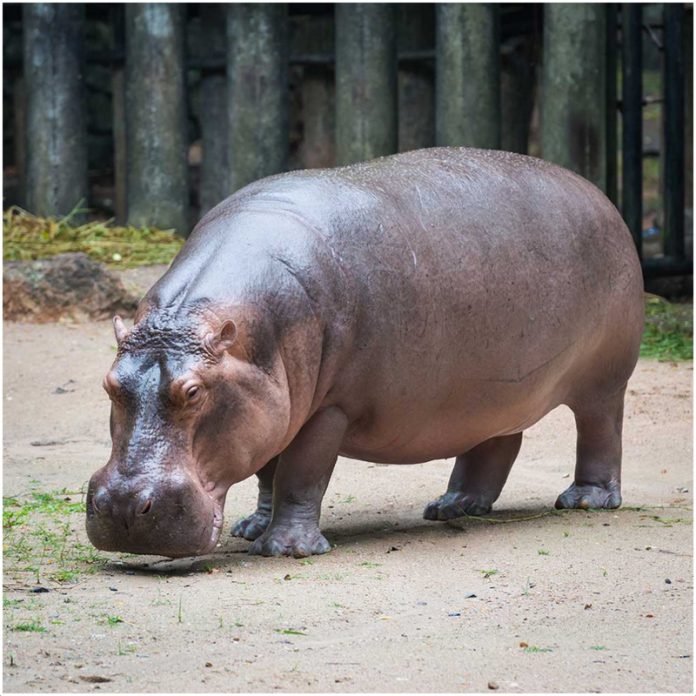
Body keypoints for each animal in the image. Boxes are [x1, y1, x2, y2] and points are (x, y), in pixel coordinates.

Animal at [86, 147, 644, 558]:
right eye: (109, 385)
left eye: (194, 391)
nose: (123, 506)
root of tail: (599, 193)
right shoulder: (271, 404)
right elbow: (268, 470)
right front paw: (253, 529)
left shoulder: (327, 408)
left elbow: (300, 473)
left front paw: (287, 549)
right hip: (492, 389)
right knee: (494, 443)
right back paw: (452, 506)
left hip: (603, 379)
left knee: (600, 431)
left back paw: (585, 500)